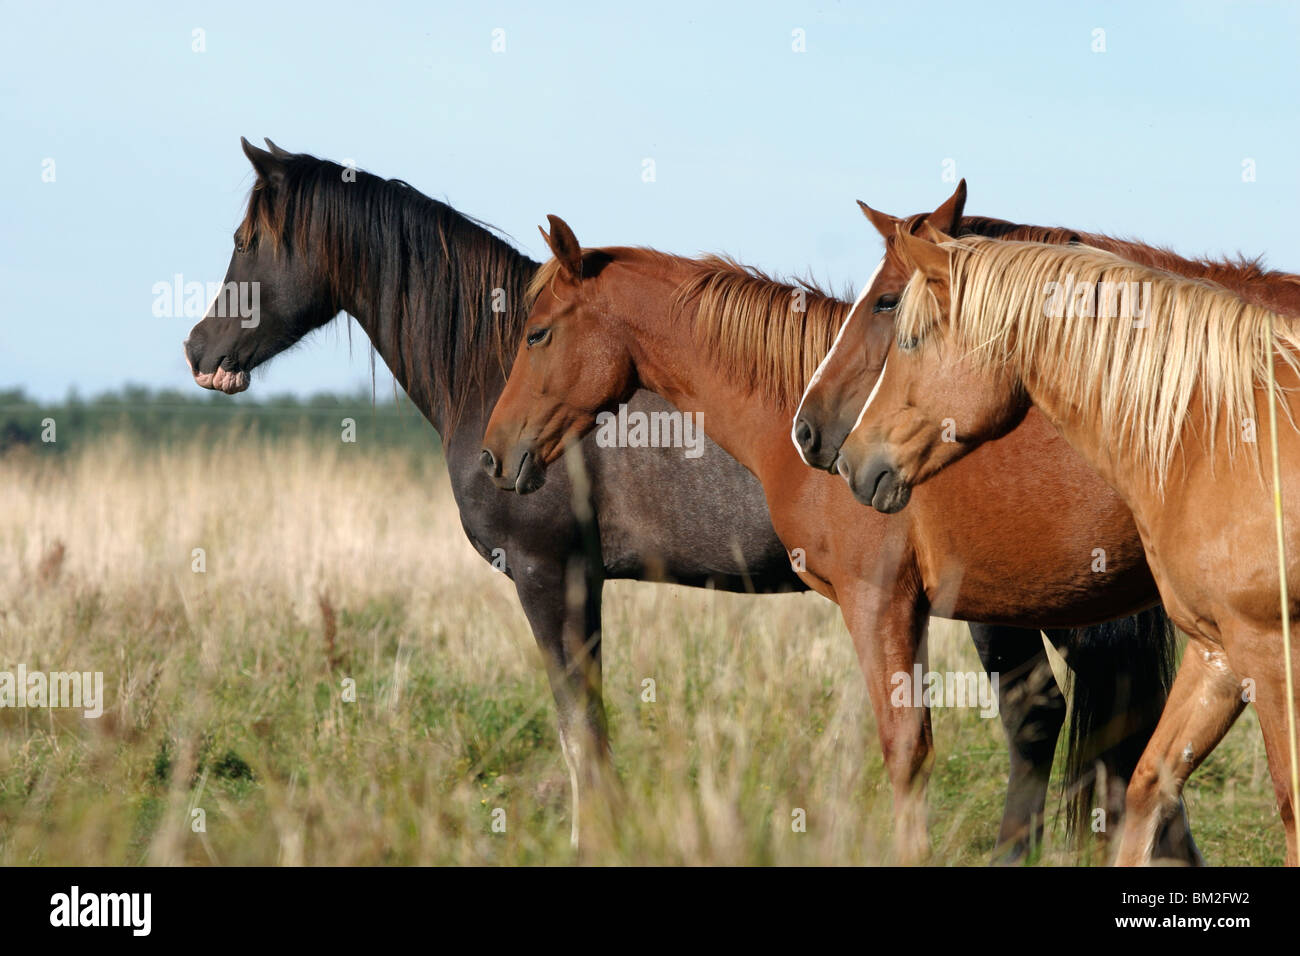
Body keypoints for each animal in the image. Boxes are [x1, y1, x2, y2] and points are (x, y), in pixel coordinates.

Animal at [182, 138, 812, 851]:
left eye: (245, 241)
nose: (198, 351)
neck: (495, 368)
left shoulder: (546, 573)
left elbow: (578, 728)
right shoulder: (581, 582)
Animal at [837, 221, 1300, 865]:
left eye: (904, 335)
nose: (847, 460)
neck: (1221, 437)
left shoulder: (1271, 646)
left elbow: (1290, 805)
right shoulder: (1220, 651)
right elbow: (1149, 783)